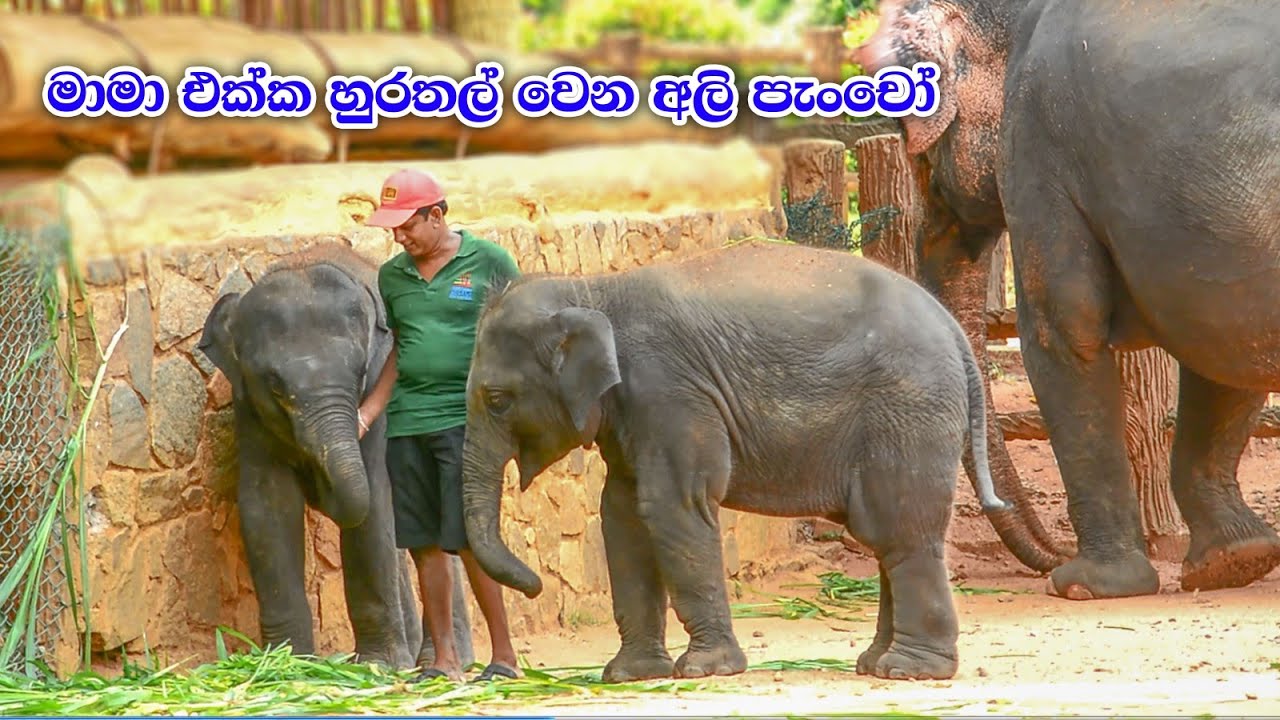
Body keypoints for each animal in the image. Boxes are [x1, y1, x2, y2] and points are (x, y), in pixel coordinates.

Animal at [197, 243, 474, 670]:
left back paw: (437, 662)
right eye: (275, 386)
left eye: (360, 371)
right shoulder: (248, 410)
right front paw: (287, 662)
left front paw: (377, 665)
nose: (319, 479)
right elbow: (267, 508)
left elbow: (374, 503)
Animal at [456, 239, 1012, 682]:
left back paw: (909, 671)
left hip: (908, 409)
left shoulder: (670, 389)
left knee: (900, 531)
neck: (593, 291)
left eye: (498, 400)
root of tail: (955, 329)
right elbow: (622, 516)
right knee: (888, 539)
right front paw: (629, 676)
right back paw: (875, 664)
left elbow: (673, 507)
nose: (535, 586)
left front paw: (705, 670)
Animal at [855, 0, 1280, 600]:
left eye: (921, 161)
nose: (1052, 555)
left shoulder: (1038, 144)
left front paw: (1085, 584)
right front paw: (1233, 563)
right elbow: (1216, 336)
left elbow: (1062, 330)